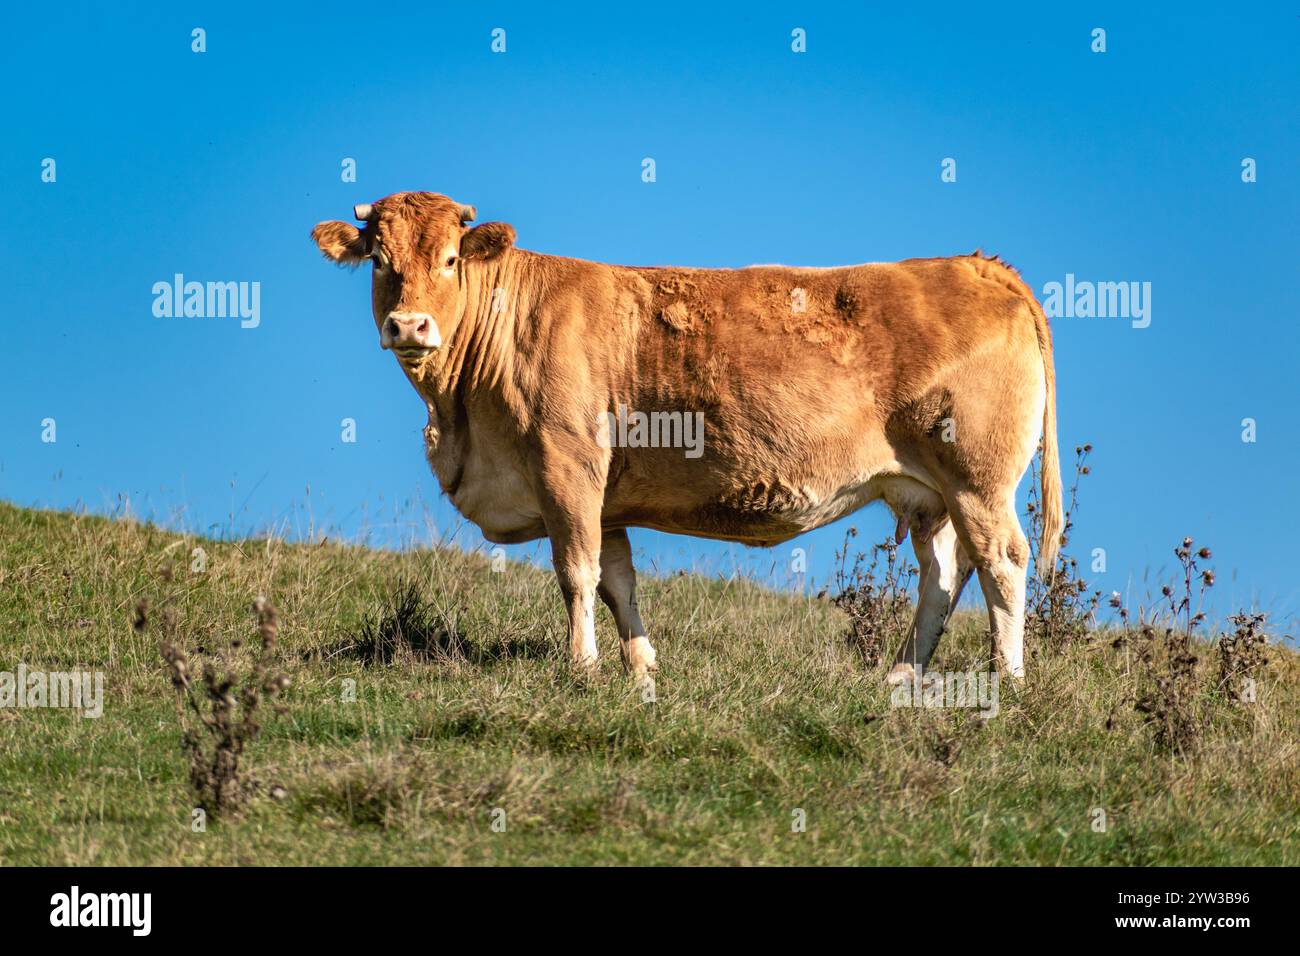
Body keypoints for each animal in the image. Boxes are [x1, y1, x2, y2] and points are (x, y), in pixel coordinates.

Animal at [311, 191, 1062, 684]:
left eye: (448, 260)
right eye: (379, 260)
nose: (410, 326)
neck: (461, 420)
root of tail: (976, 263)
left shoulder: (566, 464)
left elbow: (575, 572)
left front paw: (581, 668)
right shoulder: (602, 494)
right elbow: (617, 580)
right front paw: (640, 672)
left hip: (977, 476)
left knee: (1001, 560)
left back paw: (1006, 679)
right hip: (927, 492)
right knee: (944, 573)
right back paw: (902, 678)